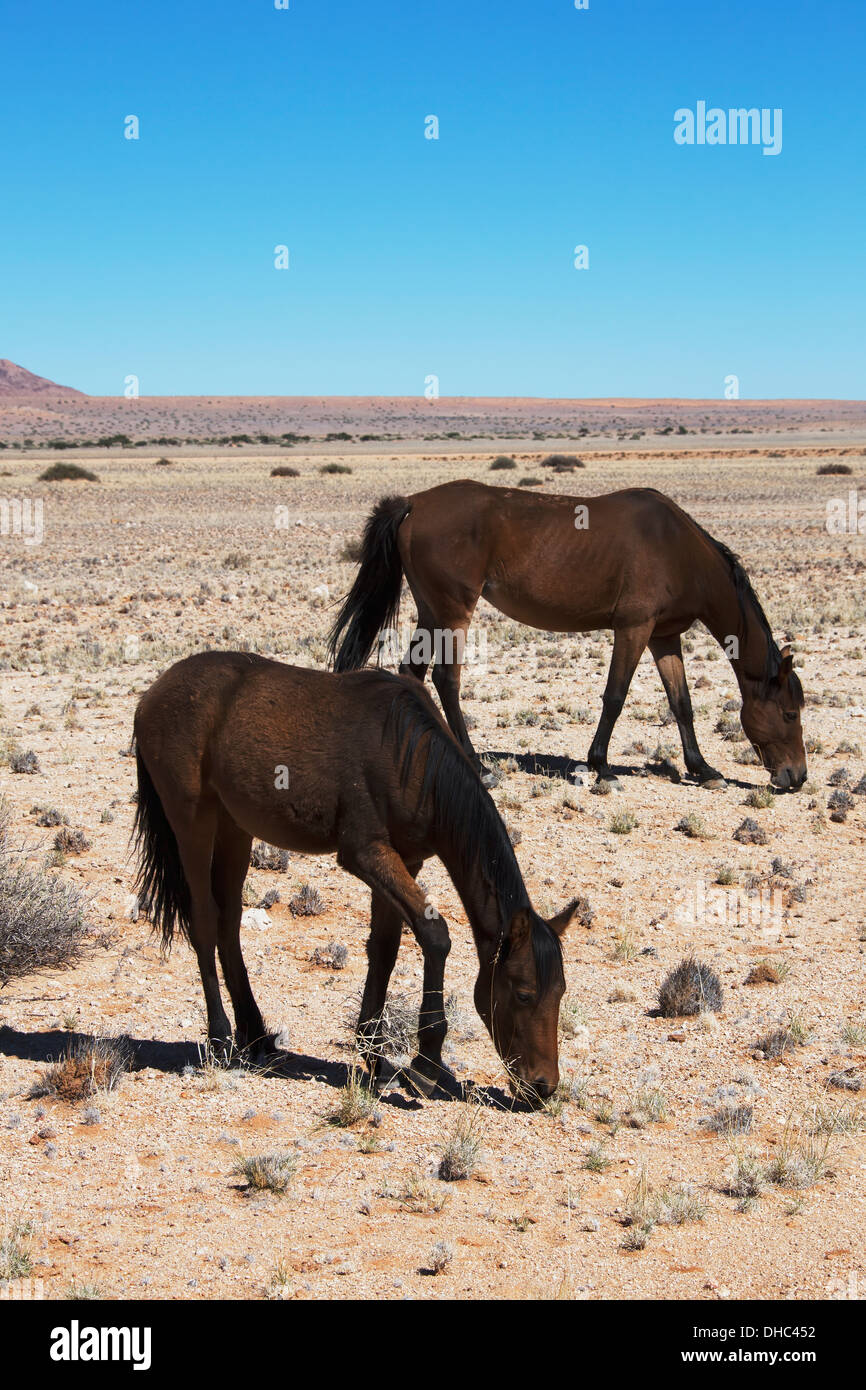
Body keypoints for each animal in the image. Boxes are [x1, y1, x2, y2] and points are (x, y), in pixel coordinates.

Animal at [132, 650, 578, 1104]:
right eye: (523, 993)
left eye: (560, 992)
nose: (544, 1086)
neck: (413, 757)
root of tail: (153, 693)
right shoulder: (365, 855)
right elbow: (435, 936)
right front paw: (425, 1063)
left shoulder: (405, 862)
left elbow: (385, 949)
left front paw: (376, 1059)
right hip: (193, 820)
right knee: (204, 920)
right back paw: (221, 1037)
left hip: (234, 828)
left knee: (229, 923)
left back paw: (255, 1035)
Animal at [329, 481, 807, 790]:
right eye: (789, 714)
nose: (797, 777)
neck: (678, 550)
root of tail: (413, 503)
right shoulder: (633, 628)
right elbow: (615, 697)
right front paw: (602, 767)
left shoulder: (664, 637)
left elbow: (682, 703)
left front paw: (703, 770)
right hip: (452, 613)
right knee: (447, 680)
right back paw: (477, 766)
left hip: (432, 613)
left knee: (412, 673)